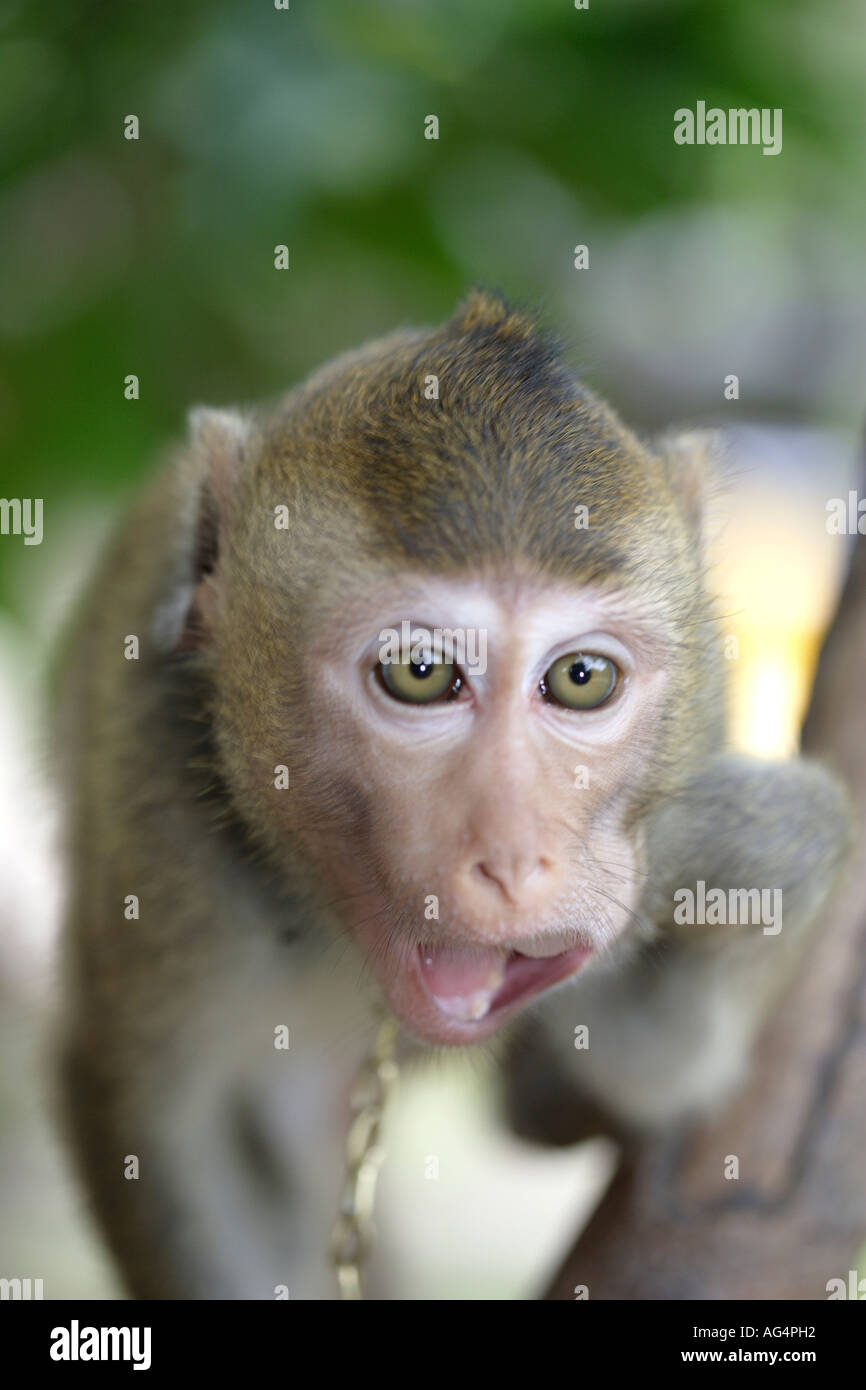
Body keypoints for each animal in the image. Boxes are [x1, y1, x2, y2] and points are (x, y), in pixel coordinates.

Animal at [54, 289, 851, 1299]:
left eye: (582, 679)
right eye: (421, 674)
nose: (517, 860)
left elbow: (621, 1092)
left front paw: (722, 837)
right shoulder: (153, 808)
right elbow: (155, 1126)